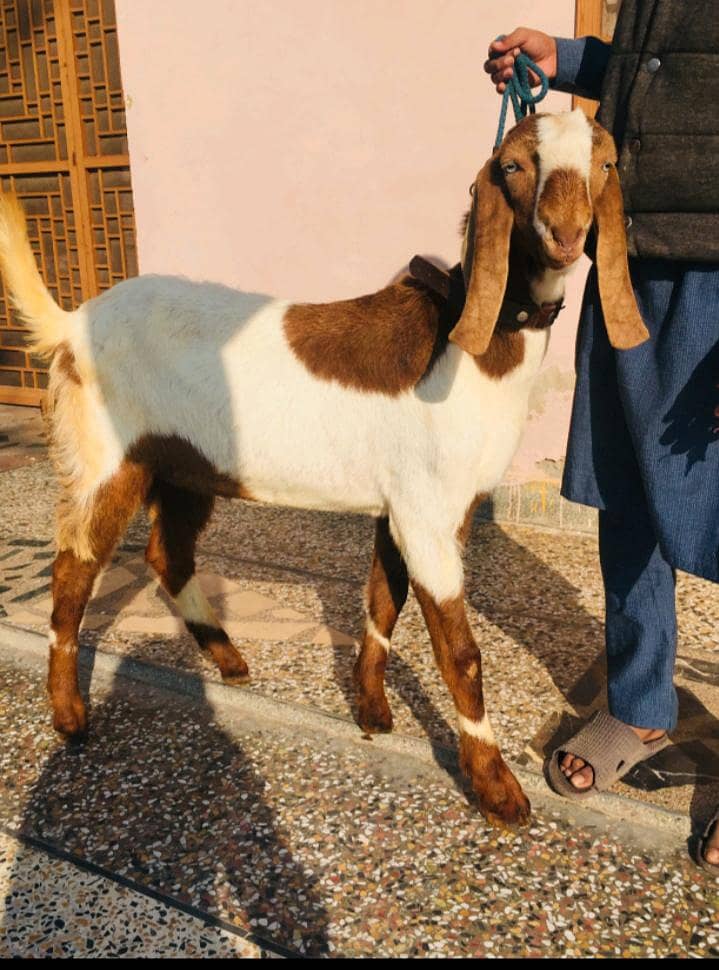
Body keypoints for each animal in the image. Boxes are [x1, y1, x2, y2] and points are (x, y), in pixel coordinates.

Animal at [0, 108, 647, 827]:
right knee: (73, 570)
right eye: (513, 166)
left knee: (167, 554)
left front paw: (371, 710)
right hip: (106, 457)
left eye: (604, 164)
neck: (474, 345)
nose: (566, 233)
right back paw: (69, 714)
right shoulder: (427, 513)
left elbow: (383, 599)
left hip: (186, 464)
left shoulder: (412, 506)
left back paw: (226, 657)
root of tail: (71, 325)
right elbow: (461, 652)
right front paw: (496, 786)